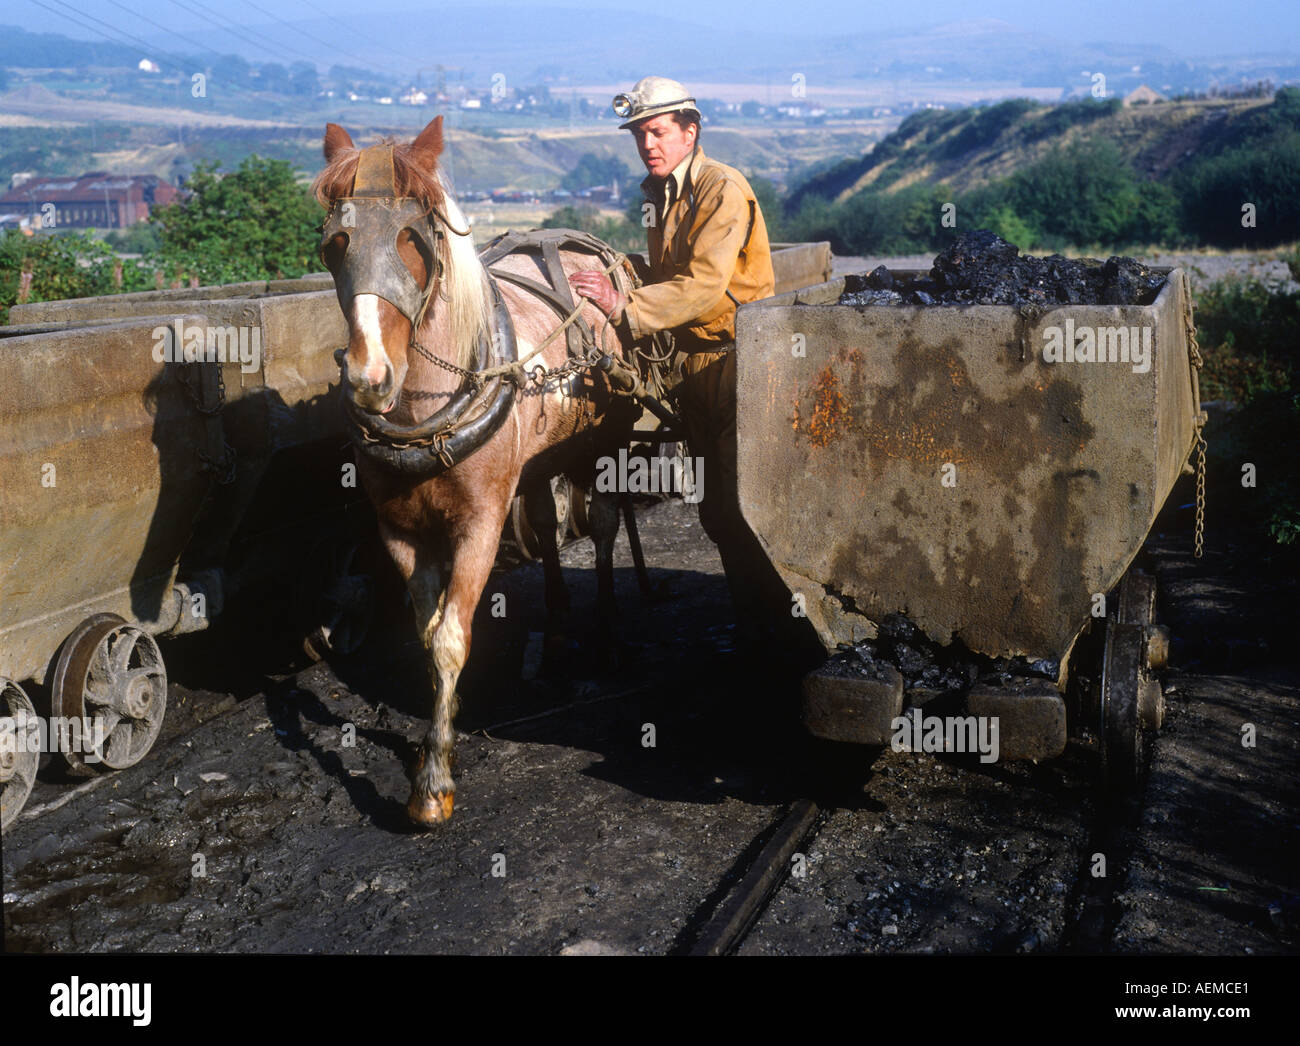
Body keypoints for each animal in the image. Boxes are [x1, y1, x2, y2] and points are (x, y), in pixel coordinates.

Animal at [312, 116, 643, 826]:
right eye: (335, 243)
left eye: (414, 237)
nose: (370, 378)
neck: (426, 417)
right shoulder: (399, 530)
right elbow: (425, 630)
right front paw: (446, 719)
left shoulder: (481, 524)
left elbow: (449, 637)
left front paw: (433, 780)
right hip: (540, 458)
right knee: (545, 525)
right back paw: (557, 627)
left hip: (604, 439)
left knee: (603, 525)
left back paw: (606, 630)